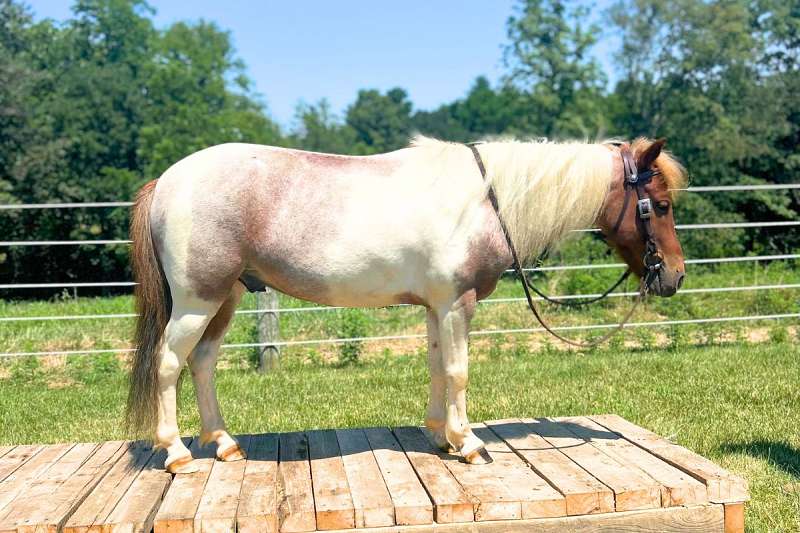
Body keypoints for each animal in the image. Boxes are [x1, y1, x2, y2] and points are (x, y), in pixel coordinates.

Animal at [127, 136, 687, 473]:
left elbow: (438, 368)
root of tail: (168, 180)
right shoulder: (458, 303)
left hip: (226, 298)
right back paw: (176, 453)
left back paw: (223, 443)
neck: (486, 200)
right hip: (198, 301)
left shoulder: (437, 307)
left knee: (202, 363)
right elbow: (459, 372)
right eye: (660, 206)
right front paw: (470, 443)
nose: (675, 276)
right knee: (169, 363)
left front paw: (440, 436)